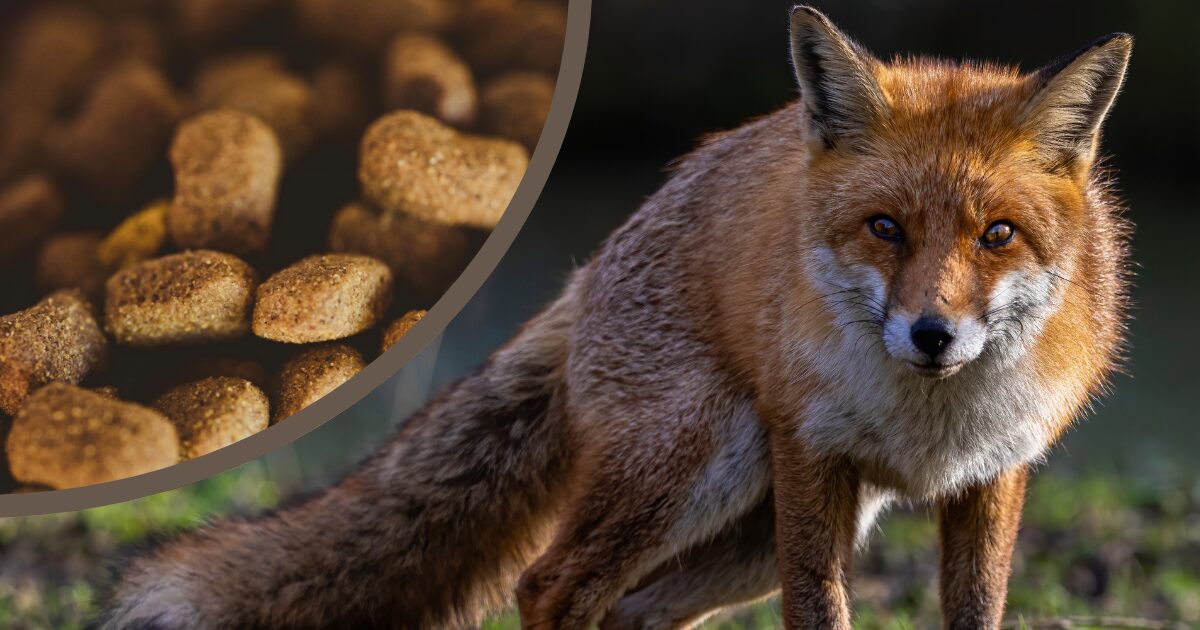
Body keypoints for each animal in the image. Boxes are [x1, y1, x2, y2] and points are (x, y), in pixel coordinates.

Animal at [100, 6, 1133, 630]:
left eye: (997, 235)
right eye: (885, 228)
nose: (932, 335)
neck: (928, 426)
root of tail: (593, 263)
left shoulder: (992, 478)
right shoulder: (813, 459)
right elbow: (819, 612)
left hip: (747, 536)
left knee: (632, 610)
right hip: (700, 468)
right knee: (550, 585)